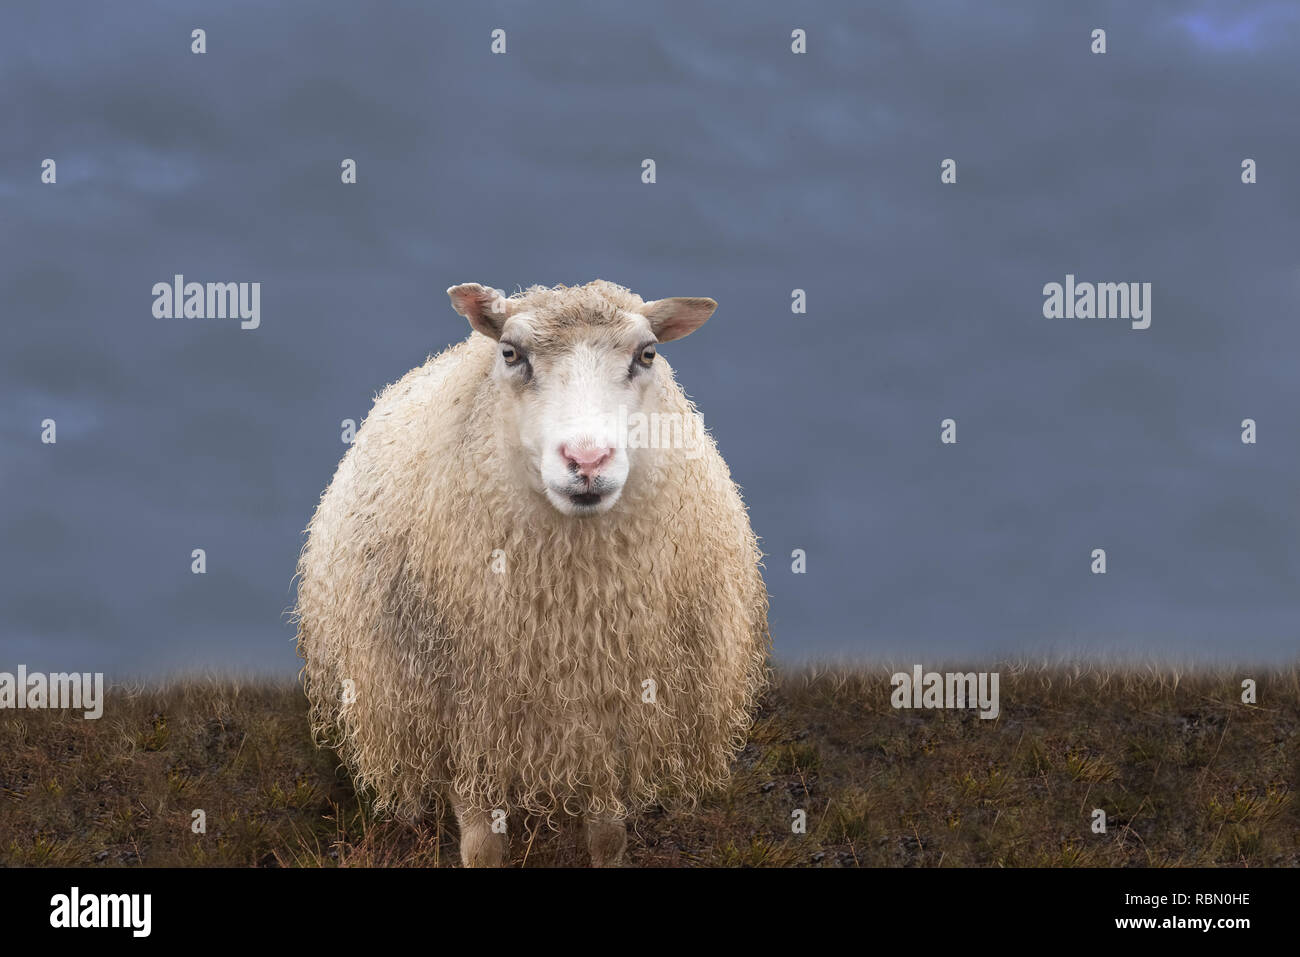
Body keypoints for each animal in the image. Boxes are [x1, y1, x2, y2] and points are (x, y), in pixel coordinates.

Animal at [294, 279, 769, 866]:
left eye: (647, 354)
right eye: (510, 353)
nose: (587, 461)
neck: (568, 606)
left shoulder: (613, 706)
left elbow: (607, 833)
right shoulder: (464, 715)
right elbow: (482, 844)